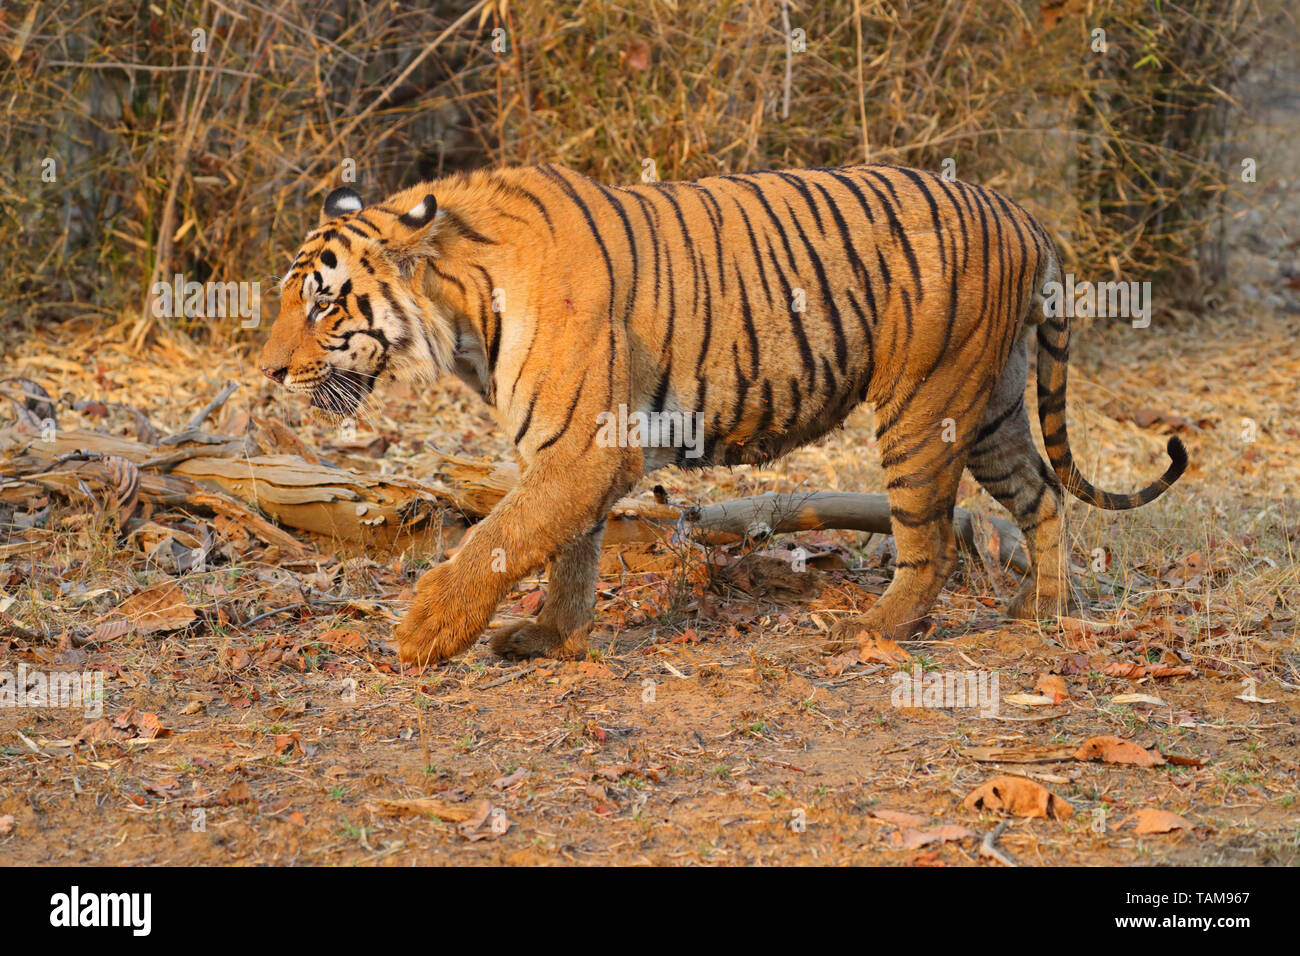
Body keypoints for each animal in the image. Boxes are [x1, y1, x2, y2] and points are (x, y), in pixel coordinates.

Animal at [258, 162, 1187, 667]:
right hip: (990, 409)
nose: (267, 370)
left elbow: (500, 537)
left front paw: (424, 631)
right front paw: (551, 636)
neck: (461, 313)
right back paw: (1042, 612)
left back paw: (872, 628)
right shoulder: (570, 446)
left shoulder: (586, 445)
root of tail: (1026, 215)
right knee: (1043, 496)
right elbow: (564, 548)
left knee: (931, 541)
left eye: (321, 305)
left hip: (924, 406)